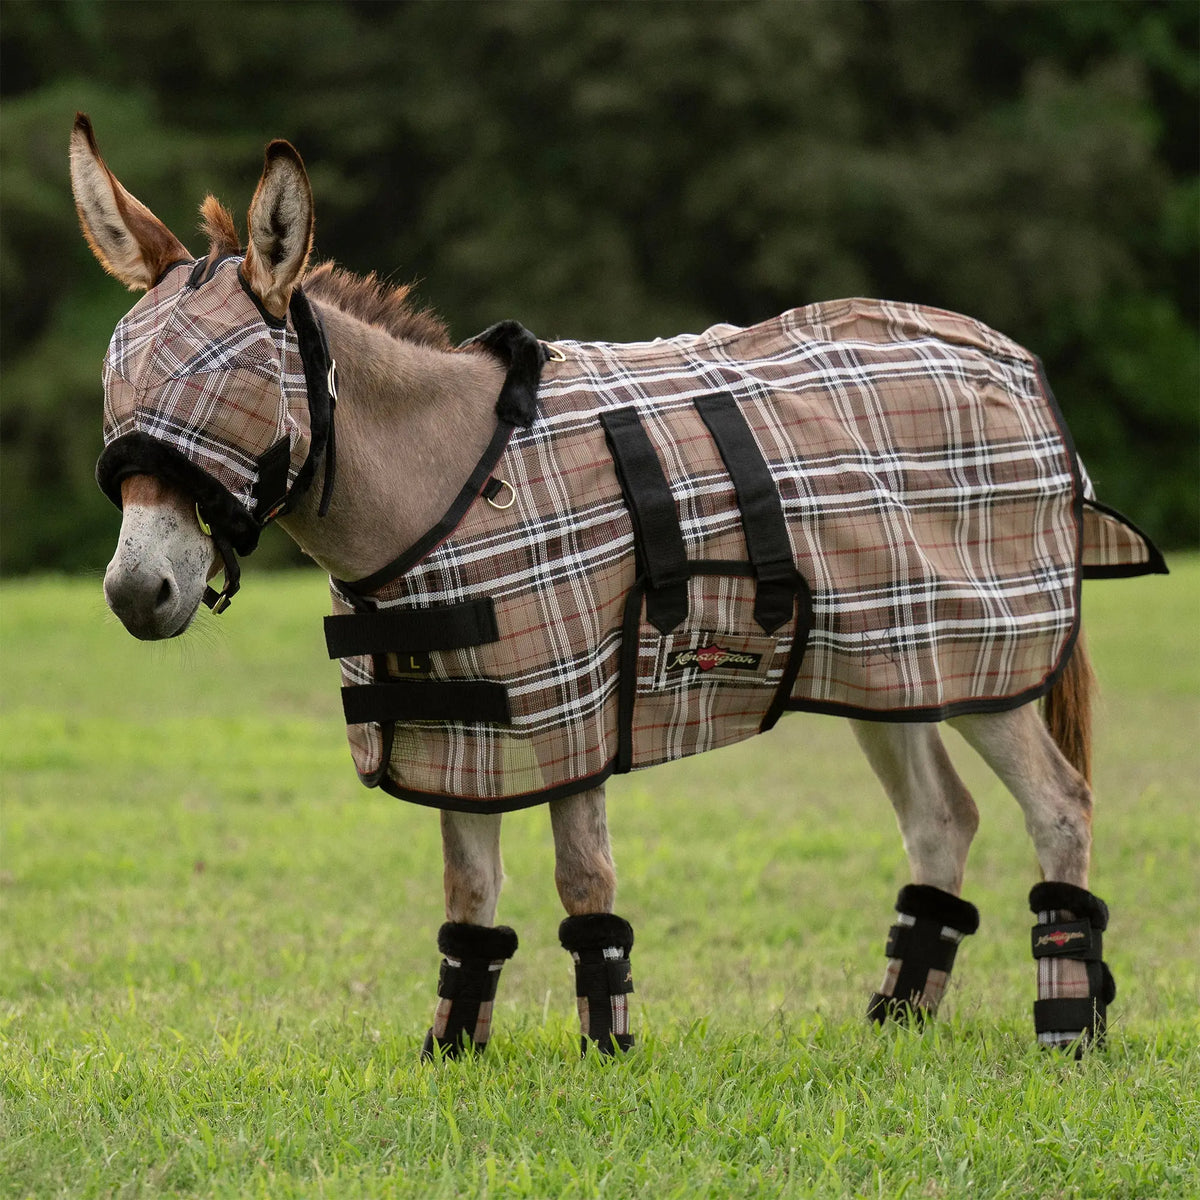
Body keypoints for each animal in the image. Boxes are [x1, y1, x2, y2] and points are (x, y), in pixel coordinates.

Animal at [69, 115, 1165, 1060]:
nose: (133, 592)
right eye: (117, 387)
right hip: (893, 665)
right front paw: (451, 1053)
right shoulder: (458, 724)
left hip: (989, 660)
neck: (449, 489)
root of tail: (999, 349)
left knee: (1061, 806)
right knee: (945, 819)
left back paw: (1068, 1029)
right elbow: (469, 898)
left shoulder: (576, 707)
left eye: (229, 393)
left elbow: (583, 878)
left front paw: (609, 1049)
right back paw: (898, 1021)